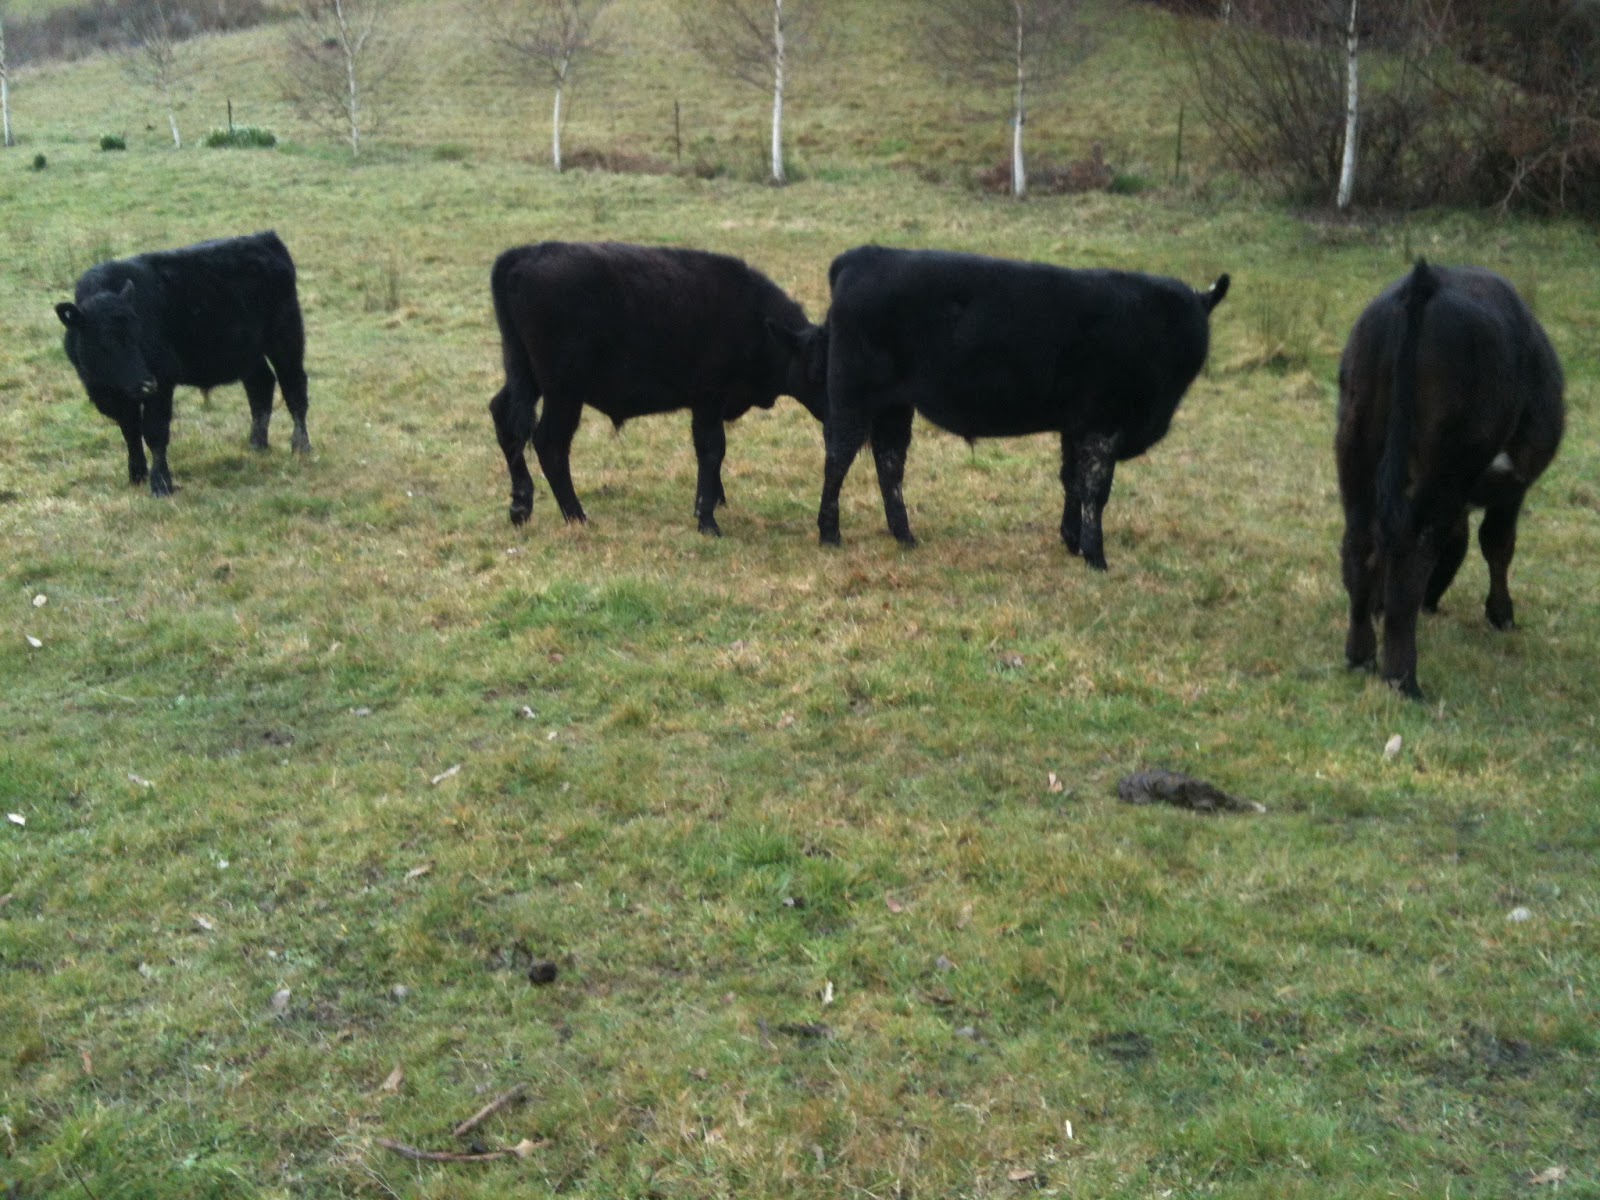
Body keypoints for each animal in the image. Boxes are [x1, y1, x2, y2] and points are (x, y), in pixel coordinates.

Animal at [55, 231, 311, 497]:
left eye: (139, 334)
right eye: (105, 341)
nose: (145, 383)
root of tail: (265, 237)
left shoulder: (162, 381)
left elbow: (155, 432)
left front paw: (161, 483)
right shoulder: (115, 397)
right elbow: (130, 433)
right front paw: (136, 475)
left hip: (286, 337)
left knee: (294, 386)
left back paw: (300, 446)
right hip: (248, 353)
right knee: (260, 386)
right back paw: (257, 444)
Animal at [488, 241, 829, 535]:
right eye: (818, 370)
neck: (755, 319)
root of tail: (525, 254)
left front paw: (716, 500)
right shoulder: (709, 398)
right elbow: (712, 449)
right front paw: (708, 520)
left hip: (526, 377)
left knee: (504, 418)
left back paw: (520, 508)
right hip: (563, 392)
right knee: (550, 444)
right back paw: (577, 516)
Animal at [810, 245, 1229, 568]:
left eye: (1196, 331)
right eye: (1167, 332)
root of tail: (863, 255)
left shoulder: (1075, 425)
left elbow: (1072, 480)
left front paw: (1072, 541)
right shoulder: (1103, 423)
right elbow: (1096, 489)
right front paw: (1096, 556)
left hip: (895, 406)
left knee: (889, 463)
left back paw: (904, 536)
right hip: (853, 396)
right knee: (838, 458)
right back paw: (830, 533)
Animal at [1336, 260, 1564, 700]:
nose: (1432, 603)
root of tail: (1426, 278)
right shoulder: (1513, 486)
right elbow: (1498, 544)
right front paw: (1502, 614)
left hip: (1356, 447)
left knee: (1360, 544)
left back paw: (1360, 654)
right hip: (1444, 469)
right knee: (1409, 557)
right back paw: (1404, 679)